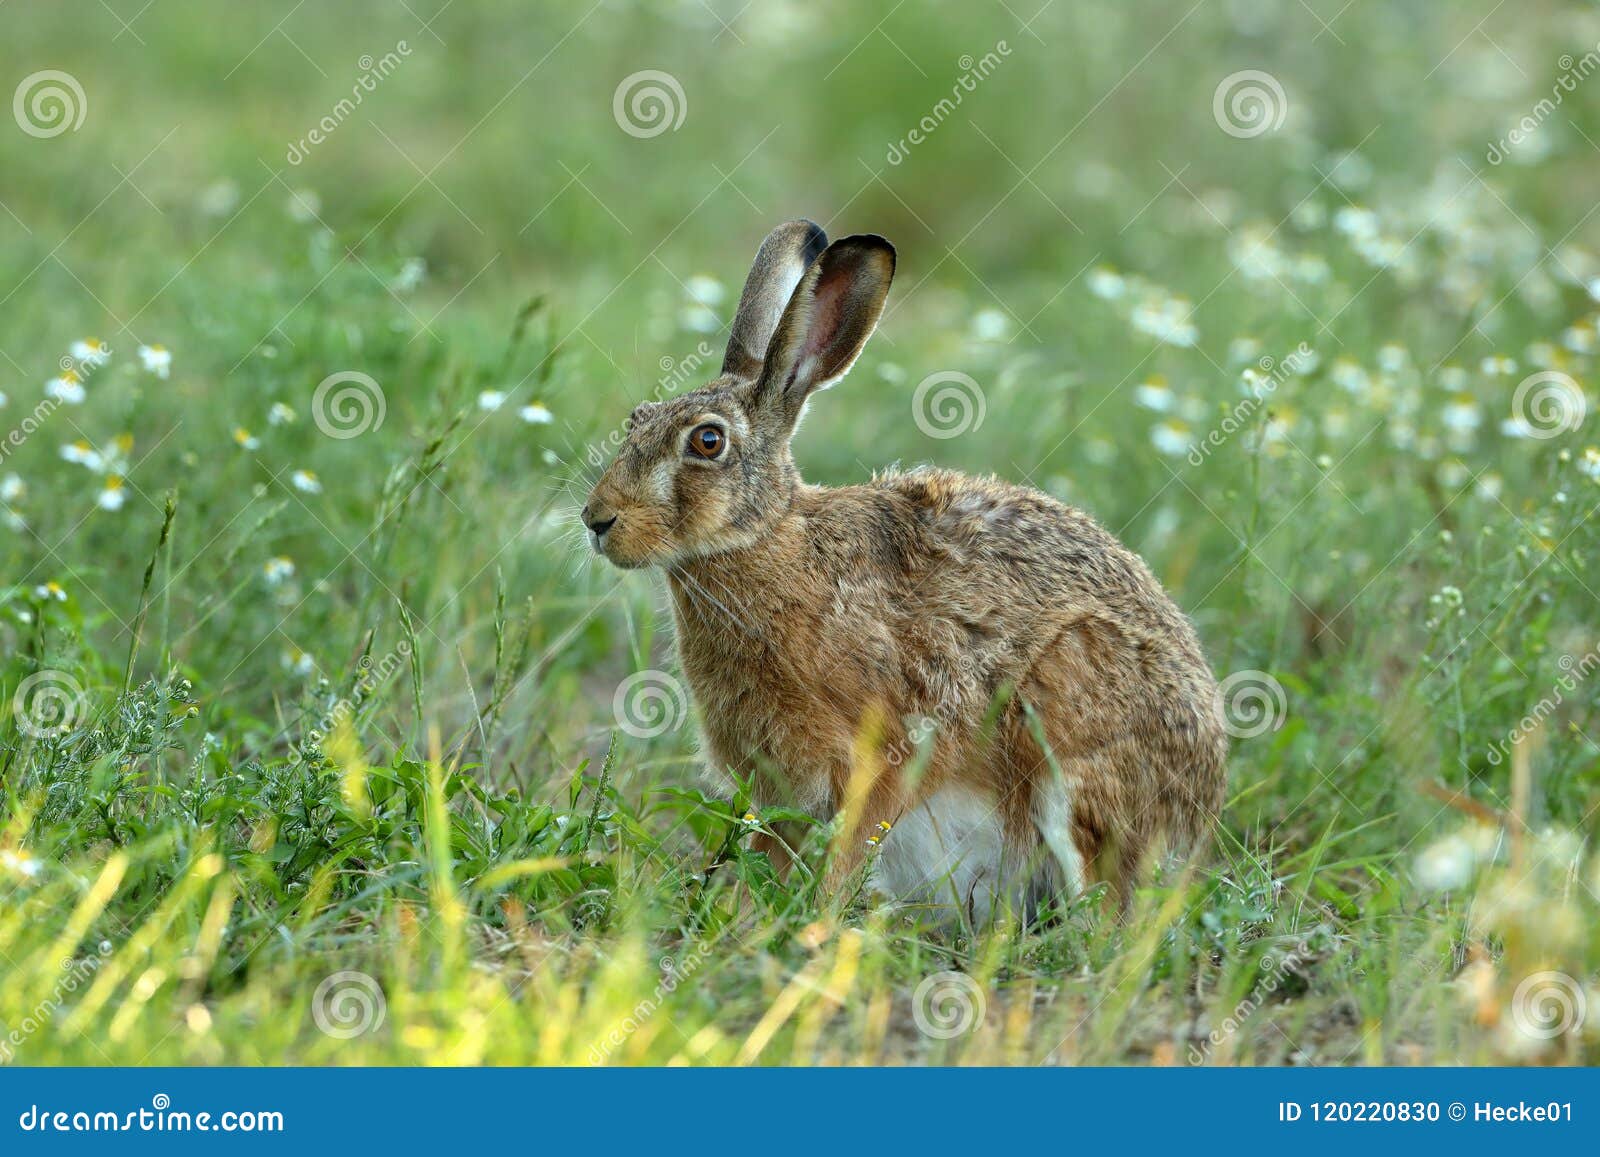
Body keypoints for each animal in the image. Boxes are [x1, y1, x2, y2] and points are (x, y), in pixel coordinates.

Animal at [583, 219, 1227, 922]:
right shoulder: (782, 794)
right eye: (636, 420)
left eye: (707, 441)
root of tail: (1200, 811)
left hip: (1076, 719)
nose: (597, 519)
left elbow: (852, 846)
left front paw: (816, 923)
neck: (774, 541)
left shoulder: (887, 751)